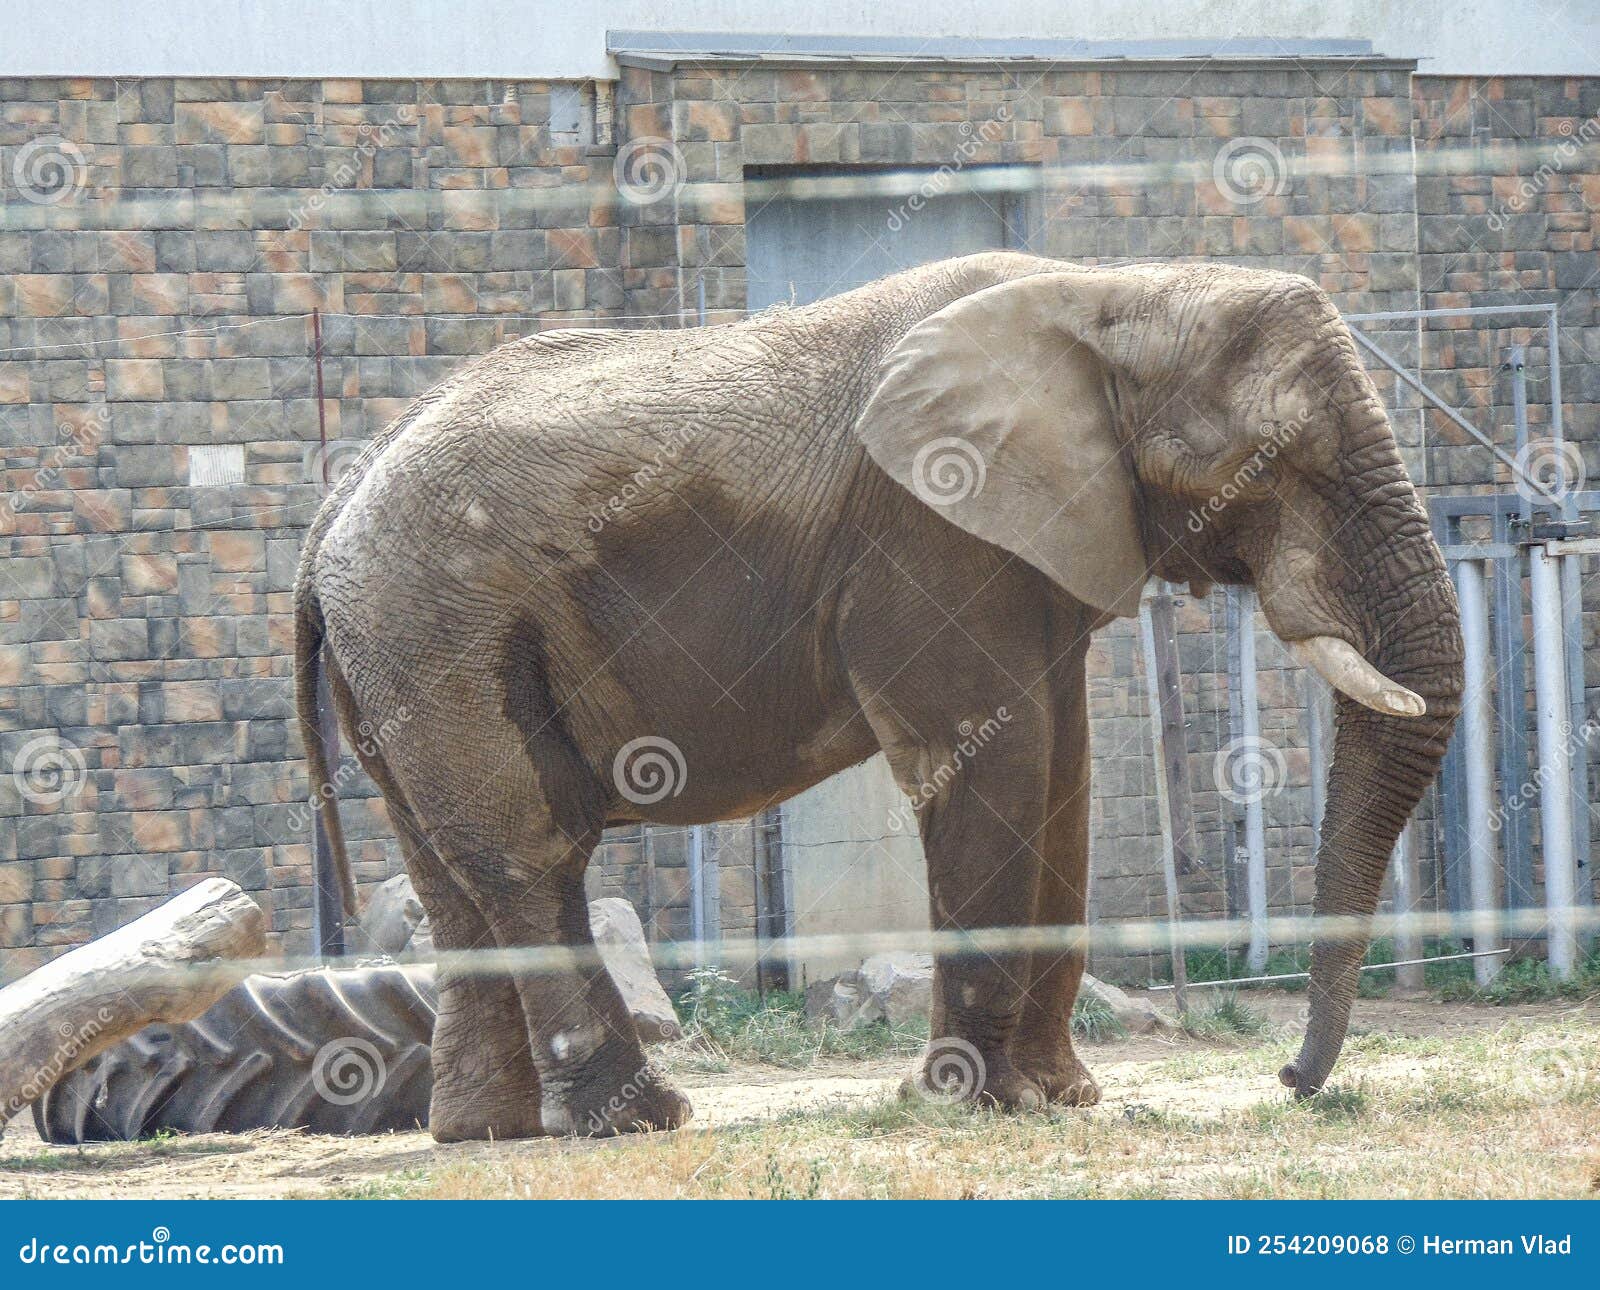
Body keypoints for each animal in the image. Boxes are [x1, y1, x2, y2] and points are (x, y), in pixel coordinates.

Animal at [293, 252, 1463, 1141]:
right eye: (1274, 464)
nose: (1288, 1081)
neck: (1114, 292)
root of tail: (332, 509)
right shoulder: (931, 526)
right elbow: (994, 764)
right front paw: (978, 1104)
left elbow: (1064, 779)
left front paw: (1061, 1099)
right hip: (437, 630)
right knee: (530, 857)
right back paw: (639, 1119)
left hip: (401, 651)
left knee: (452, 875)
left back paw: (484, 1133)